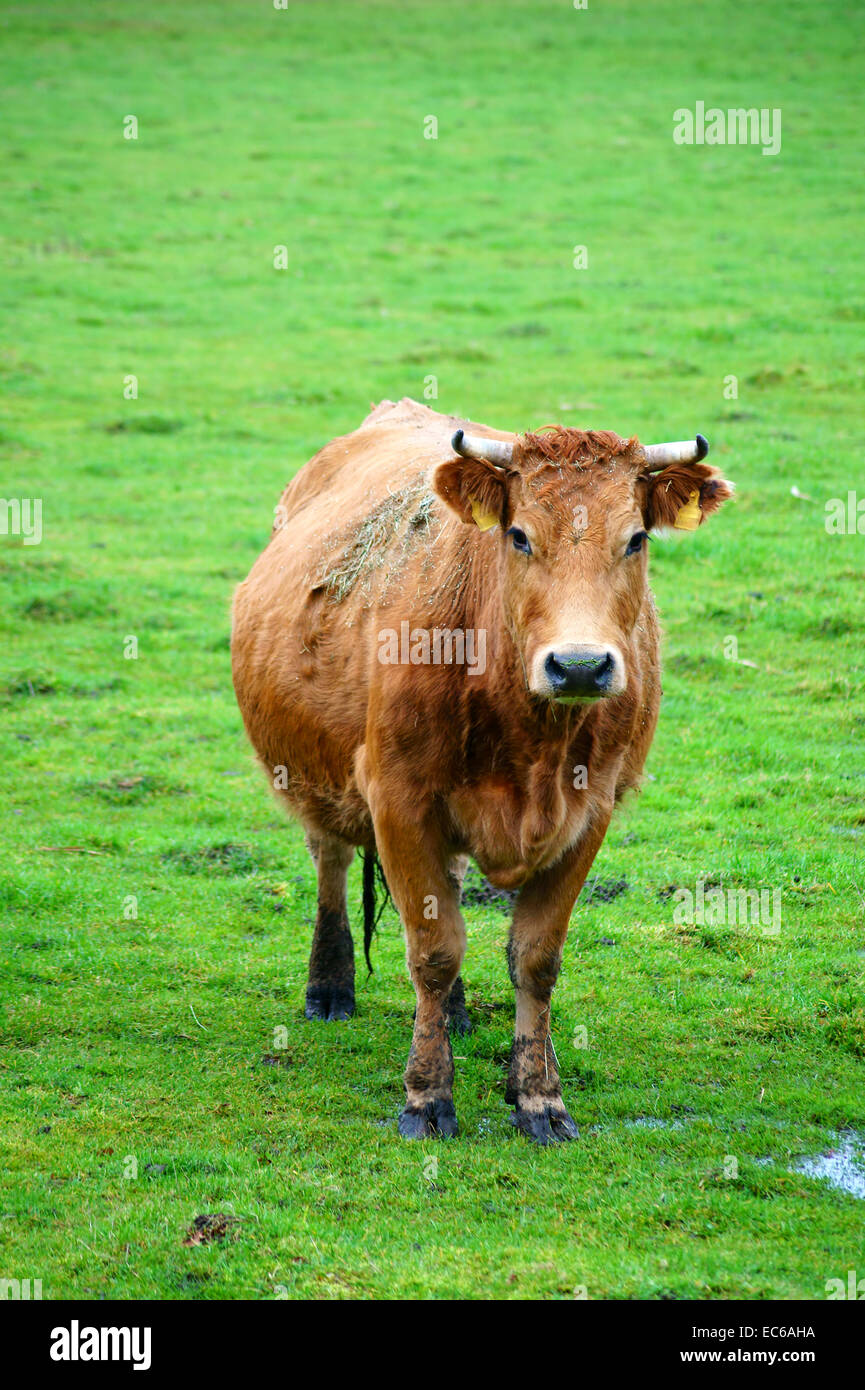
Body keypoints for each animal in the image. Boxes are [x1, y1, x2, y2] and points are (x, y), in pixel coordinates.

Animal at [231, 398, 733, 1144]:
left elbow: (534, 957)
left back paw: (459, 1014)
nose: (578, 666)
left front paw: (538, 1097)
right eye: (520, 536)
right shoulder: (398, 801)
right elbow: (433, 951)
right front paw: (427, 1095)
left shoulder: (591, 811)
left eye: (636, 538)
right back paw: (330, 986)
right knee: (332, 861)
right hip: (311, 770)